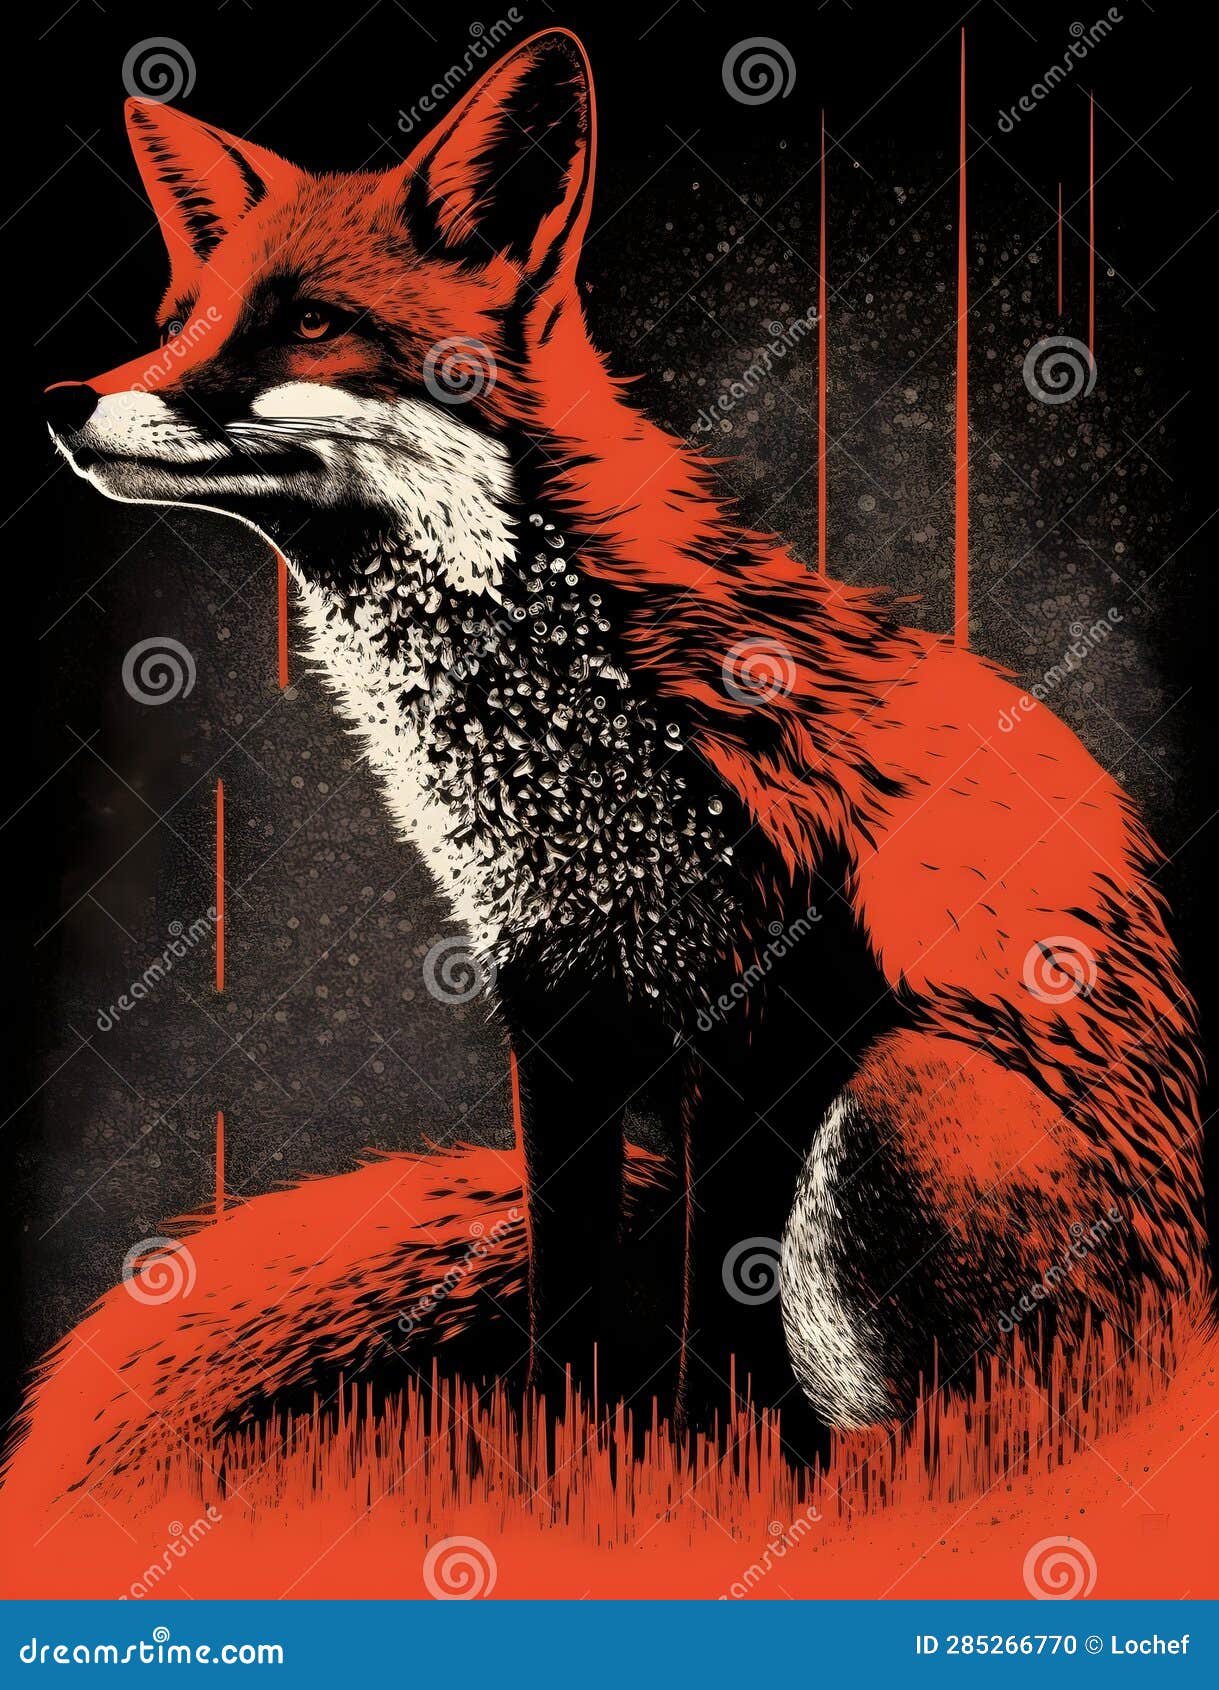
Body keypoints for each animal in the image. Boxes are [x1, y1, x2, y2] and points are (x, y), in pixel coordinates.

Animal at [26, 27, 1207, 1482]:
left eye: (305, 321)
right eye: (177, 317)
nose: (67, 398)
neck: (568, 738)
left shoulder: (753, 1012)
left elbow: (722, 1308)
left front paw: (711, 1474)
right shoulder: (551, 999)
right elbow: (566, 1273)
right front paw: (563, 1459)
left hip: (895, 1103)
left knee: (941, 1427)